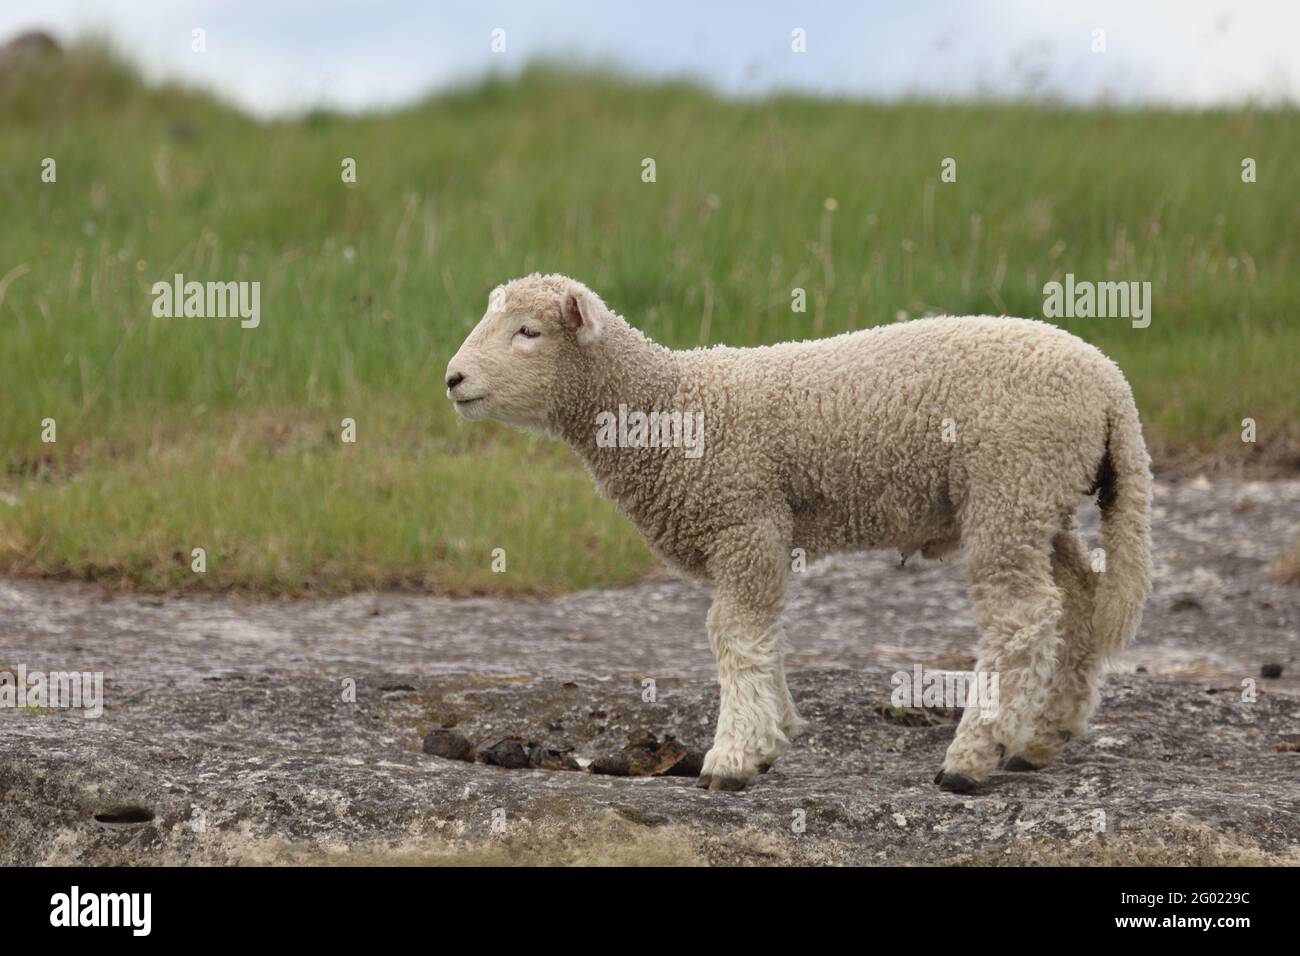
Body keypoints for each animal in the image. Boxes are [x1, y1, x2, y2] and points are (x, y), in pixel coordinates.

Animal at [445, 274, 1153, 792]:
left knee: (1022, 618)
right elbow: (762, 634)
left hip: (1009, 484)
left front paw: (734, 756)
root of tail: (1111, 382)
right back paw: (1043, 737)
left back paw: (973, 757)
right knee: (1080, 598)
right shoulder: (763, 532)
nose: (452, 378)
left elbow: (734, 635)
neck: (668, 406)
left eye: (529, 331)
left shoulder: (744, 517)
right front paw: (774, 729)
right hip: (1042, 498)